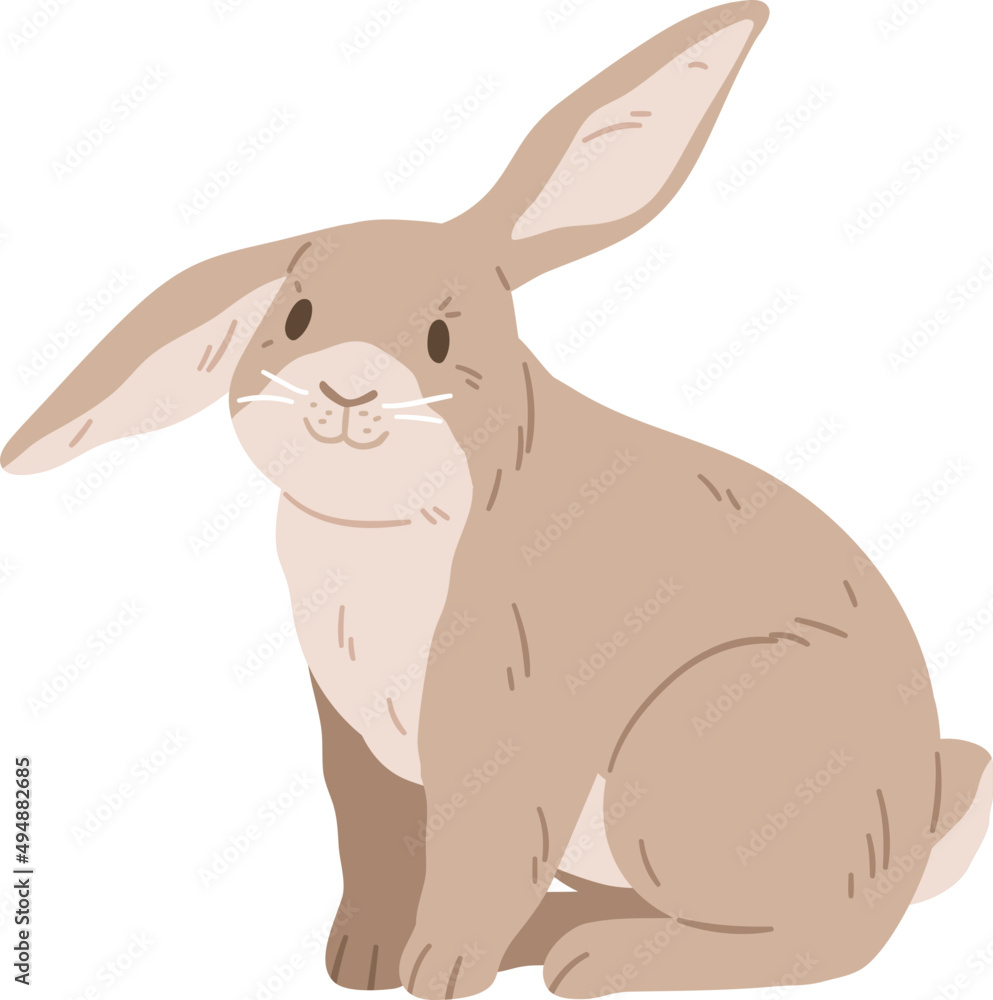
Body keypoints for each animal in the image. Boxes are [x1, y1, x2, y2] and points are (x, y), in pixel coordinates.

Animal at [4, 1, 991, 996]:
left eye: (441, 338)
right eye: (294, 320)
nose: (346, 390)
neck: (388, 531)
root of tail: (914, 826)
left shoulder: (508, 718)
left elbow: (486, 854)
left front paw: (441, 974)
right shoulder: (359, 749)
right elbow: (375, 844)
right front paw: (360, 961)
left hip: (693, 746)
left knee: (832, 940)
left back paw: (593, 957)